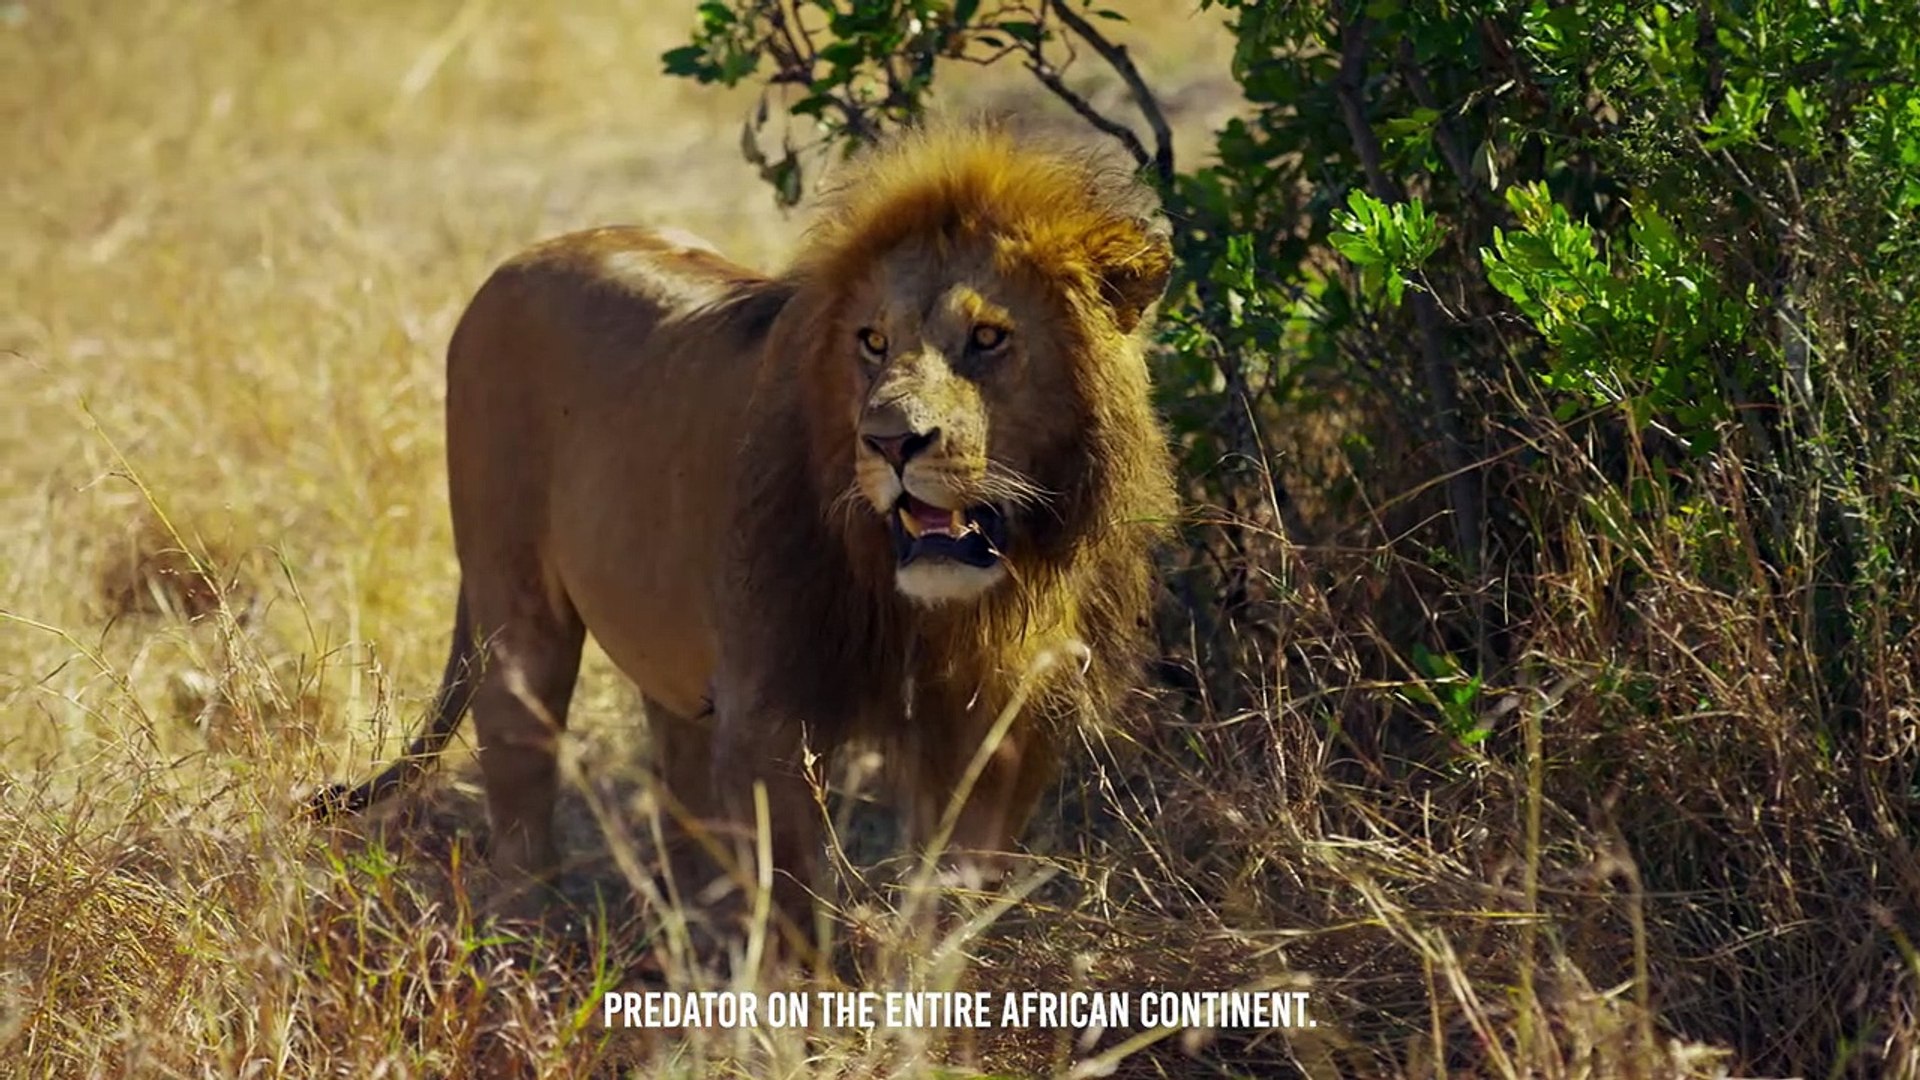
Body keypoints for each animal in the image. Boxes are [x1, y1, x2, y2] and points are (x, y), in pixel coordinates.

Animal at [317, 127, 1178, 943]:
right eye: (872, 342)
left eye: (990, 339)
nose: (891, 443)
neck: (935, 608)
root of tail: (524, 256)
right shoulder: (768, 710)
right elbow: (793, 910)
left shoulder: (1006, 718)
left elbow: (953, 899)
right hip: (520, 618)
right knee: (524, 808)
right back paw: (525, 949)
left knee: (677, 805)